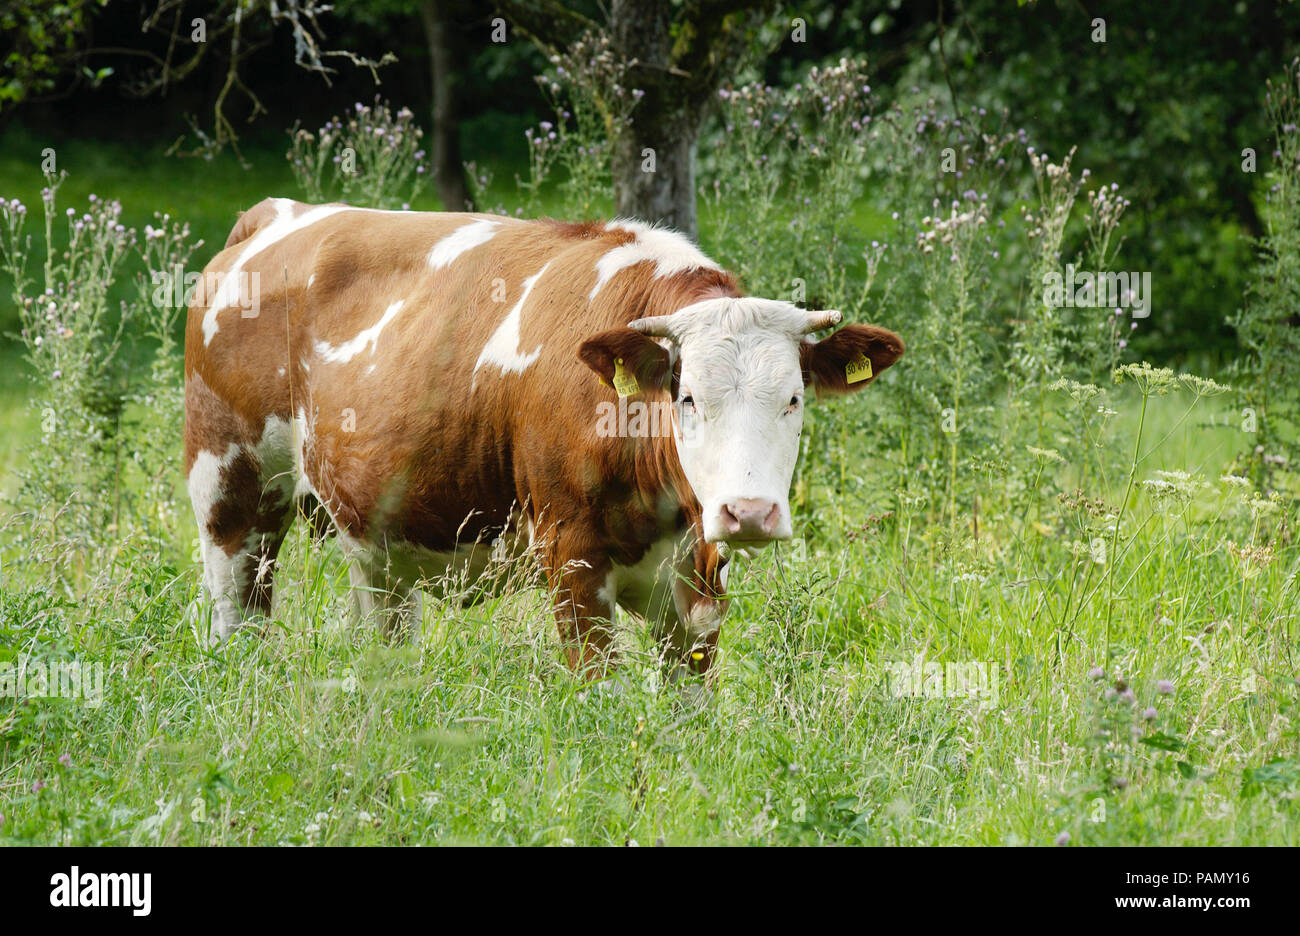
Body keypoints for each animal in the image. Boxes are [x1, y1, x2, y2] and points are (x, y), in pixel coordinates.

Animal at [183, 198, 903, 678]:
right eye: (688, 398)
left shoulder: (698, 592)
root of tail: (279, 214)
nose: (748, 513)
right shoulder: (573, 561)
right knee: (237, 616)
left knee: (385, 630)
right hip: (230, 489)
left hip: (374, 538)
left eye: (794, 399)